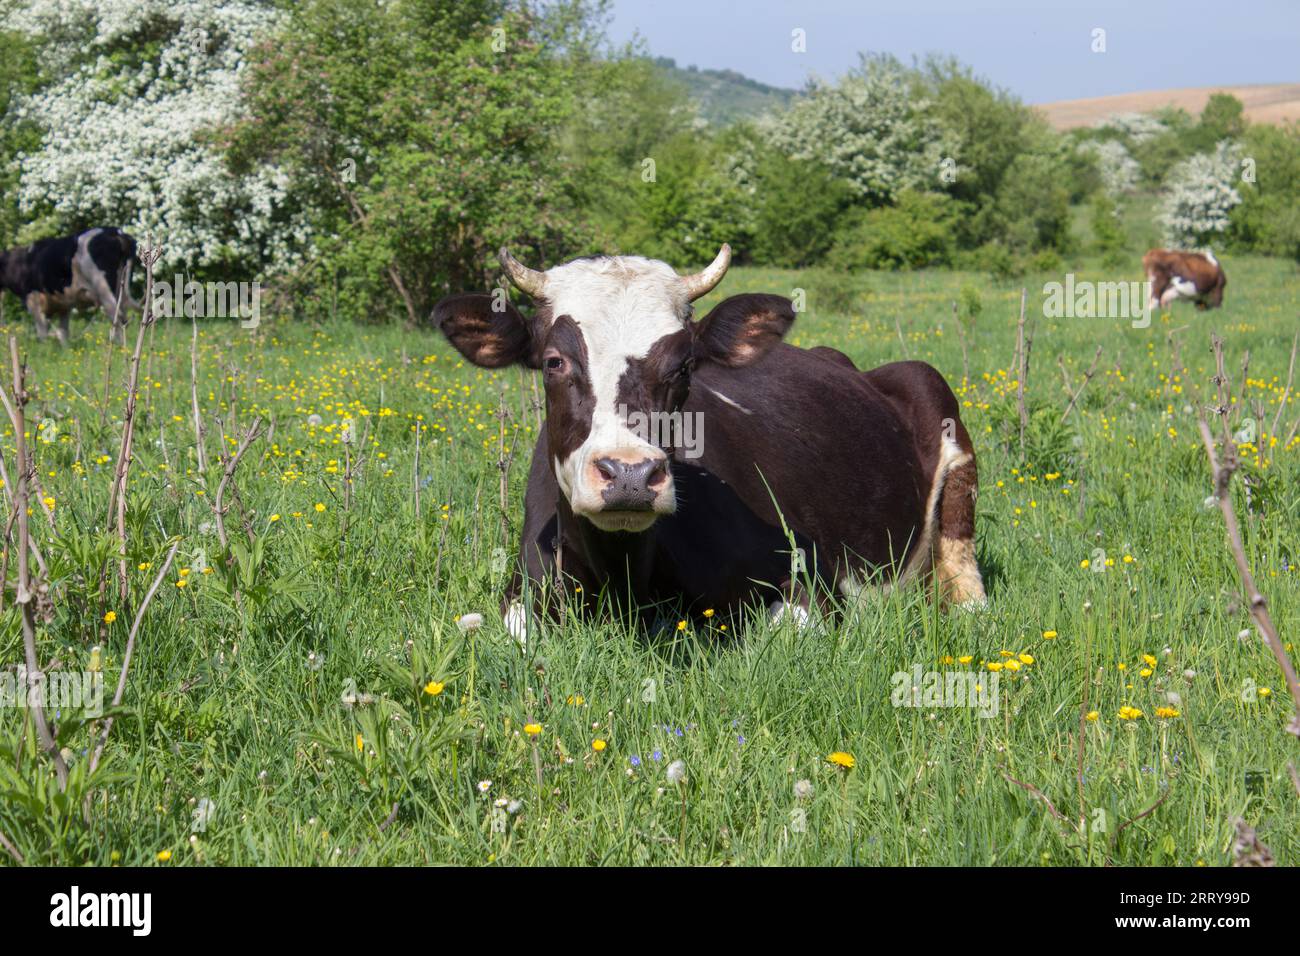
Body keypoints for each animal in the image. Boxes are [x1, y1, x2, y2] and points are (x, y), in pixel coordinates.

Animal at [0, 227, 138, 345]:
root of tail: (115, 232)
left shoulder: (34, 302)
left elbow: (42, 332)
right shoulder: (63, 305)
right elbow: (63, 332)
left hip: (103, 288)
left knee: (118, 317)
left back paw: (119, 346)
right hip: (122, 288)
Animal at [434, 245, 986, 641]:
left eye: (684, 366)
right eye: (554, 361)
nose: (630, 475)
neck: (625, 573)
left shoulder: (810, 577)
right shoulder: (525, 589)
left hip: (934, 395)